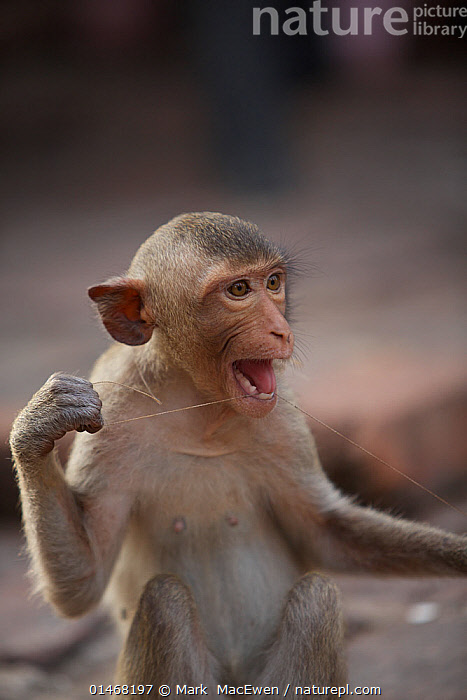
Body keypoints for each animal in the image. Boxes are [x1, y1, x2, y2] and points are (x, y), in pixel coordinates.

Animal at [9, 212, 467, 696]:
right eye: (239, 291)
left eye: (273, 282)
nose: (280, 330)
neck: (201, 409)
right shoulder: (112, 411)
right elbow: (82, 584)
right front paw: (38, 425)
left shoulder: (283, 420)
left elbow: (326, 536)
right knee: (165, 599)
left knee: (316, 596)